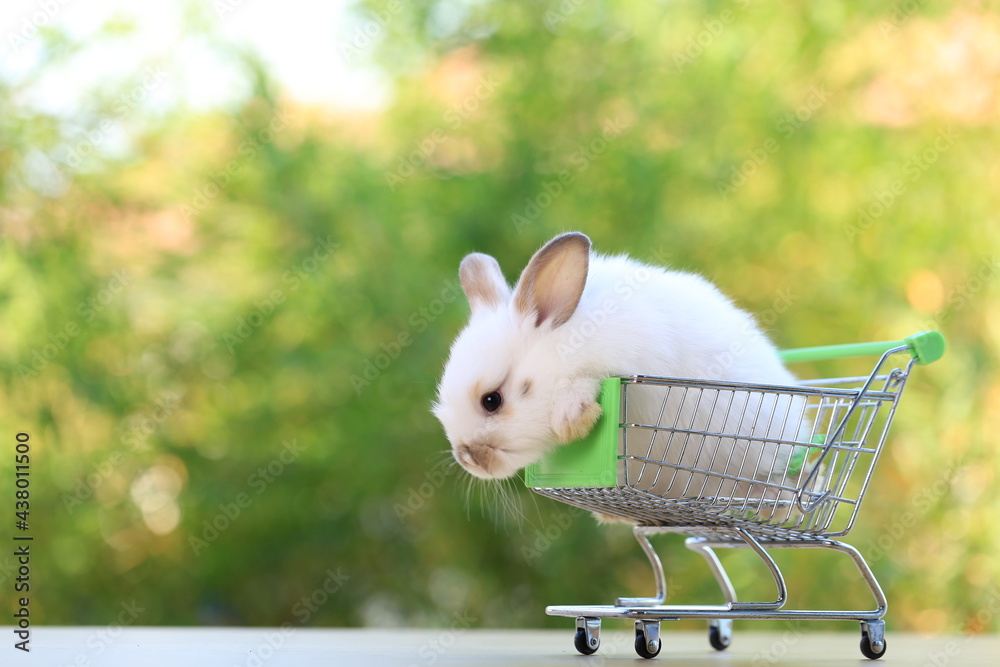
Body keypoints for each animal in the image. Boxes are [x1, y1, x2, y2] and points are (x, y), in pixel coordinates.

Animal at [432, 231, 811, 515]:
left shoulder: (634, 360)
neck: (565, 347)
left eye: (491, 400)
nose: (469, 460)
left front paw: (571, 419)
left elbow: (586, 379)